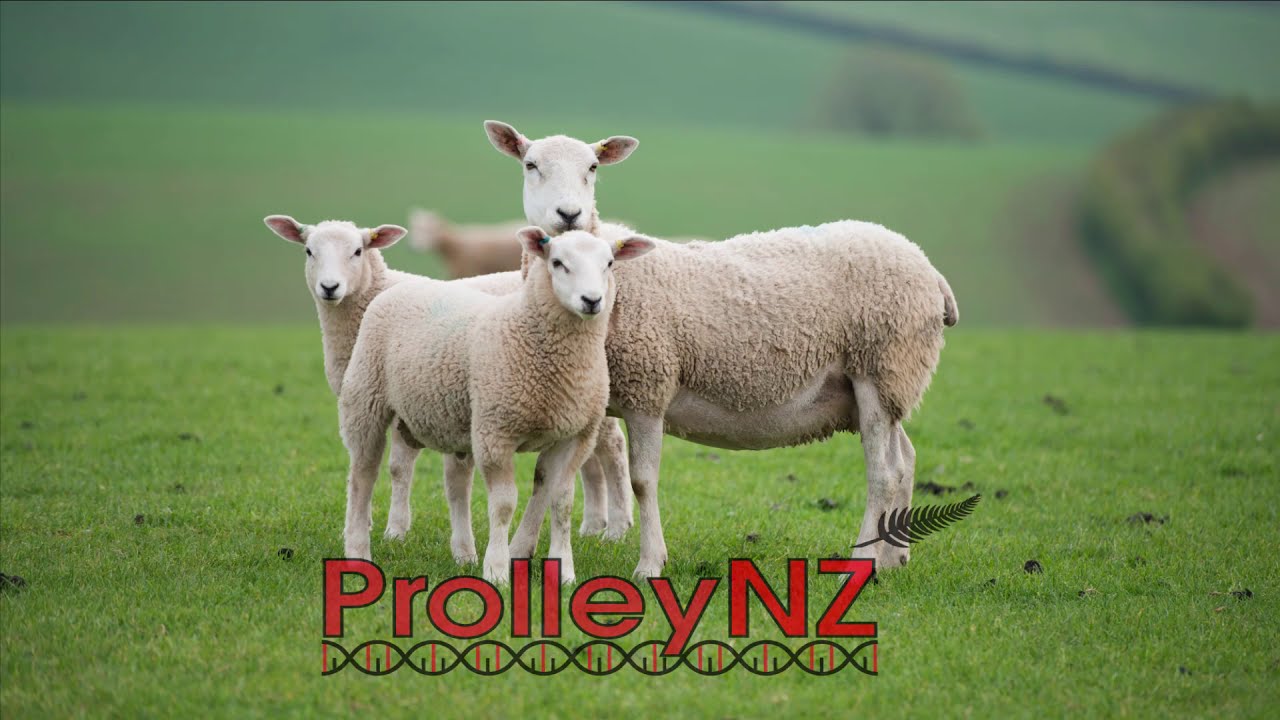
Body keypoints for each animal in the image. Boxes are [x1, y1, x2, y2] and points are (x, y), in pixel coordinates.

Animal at [261, 215, 633, 565]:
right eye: (309, 251)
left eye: (357, 251)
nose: (330, 287)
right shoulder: (422, 407)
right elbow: (414, 470)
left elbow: (399, 466)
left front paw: (394, 529)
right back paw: (592, 525)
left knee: (612, 448)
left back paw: (615, 526)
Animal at [484, 121, 960, 578]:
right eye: (530, 164)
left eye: (593, 167)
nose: (569, 214)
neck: (614, 278)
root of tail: (929, 268)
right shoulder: (580, 401)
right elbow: (545, 479)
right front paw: (518, 551)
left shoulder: (648, 388)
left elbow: (643, 481)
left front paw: (650, 562)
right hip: (884, 385)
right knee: (907, 459)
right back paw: (894, 557)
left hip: (881, 367)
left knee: (884, 472)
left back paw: (862, 562)